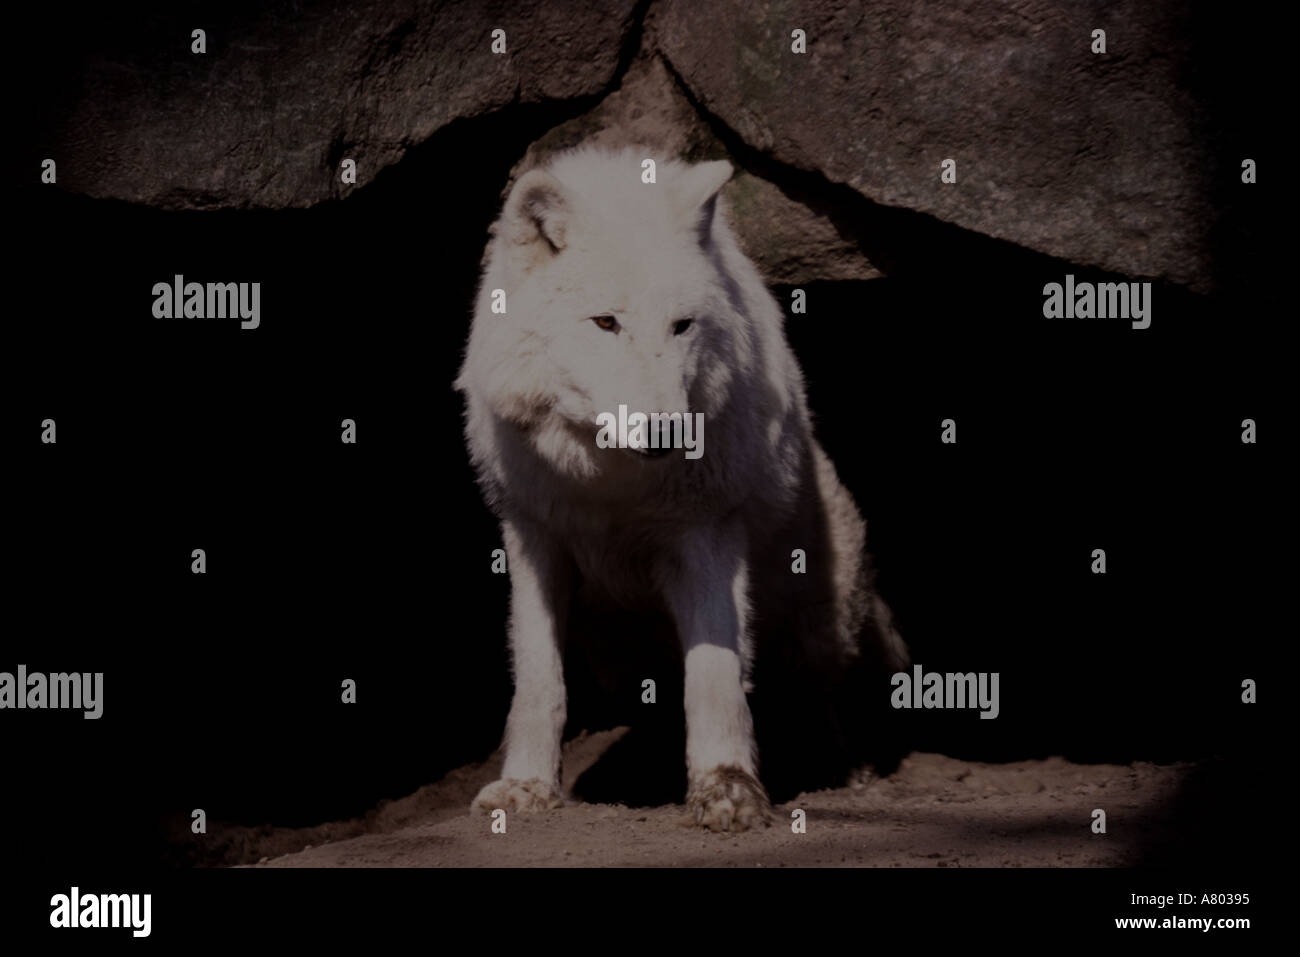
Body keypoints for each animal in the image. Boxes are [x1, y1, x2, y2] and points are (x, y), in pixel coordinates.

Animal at [455, 146, 908, 831]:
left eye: (682, 326)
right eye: (606, 322)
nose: (668, 430)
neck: (612, 484)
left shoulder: (708, 534)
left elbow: (716, 679)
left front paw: (727, 789)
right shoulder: (535, 538)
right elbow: (539, 681)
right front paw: (527, 786)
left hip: (817, 621)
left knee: (817, 692)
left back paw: (840, 767)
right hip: (619, 655)